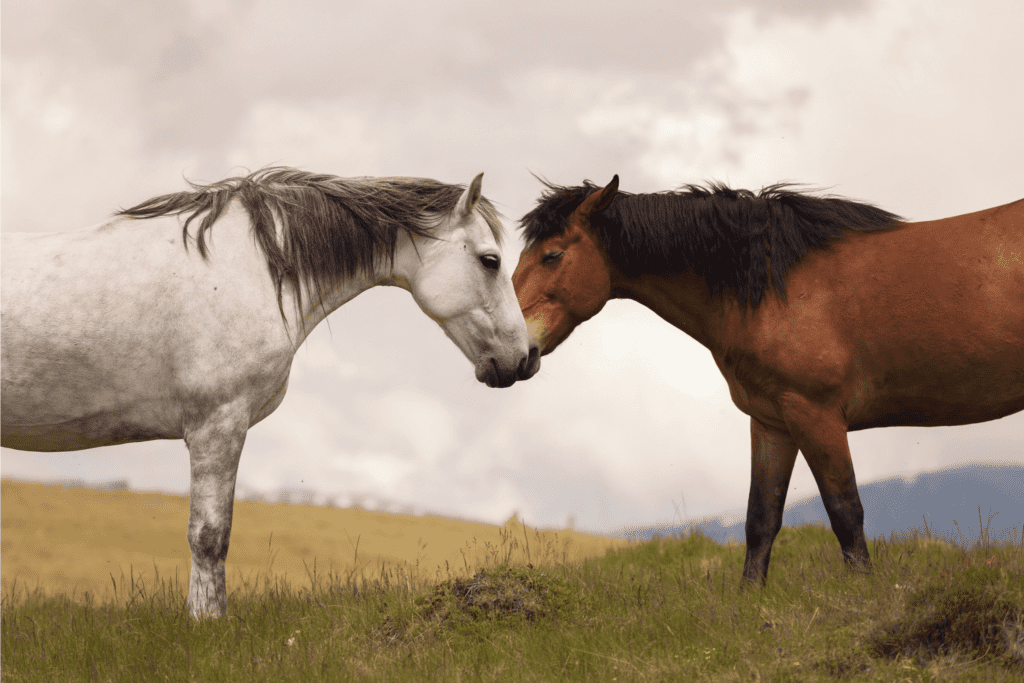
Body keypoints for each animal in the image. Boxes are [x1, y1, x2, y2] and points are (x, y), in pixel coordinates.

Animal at [1, 167, 539, 618]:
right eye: (490, 261)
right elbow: (209, 537)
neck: (250, 270)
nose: (525, 357)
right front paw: (206, 622)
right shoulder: (217, 426)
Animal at [512, 174, 1024, 584]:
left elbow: (846, 512)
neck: (771, 287)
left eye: (552, 255)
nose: (513, 351)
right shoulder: (773, 423)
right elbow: (761, 519)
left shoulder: (816, 416)